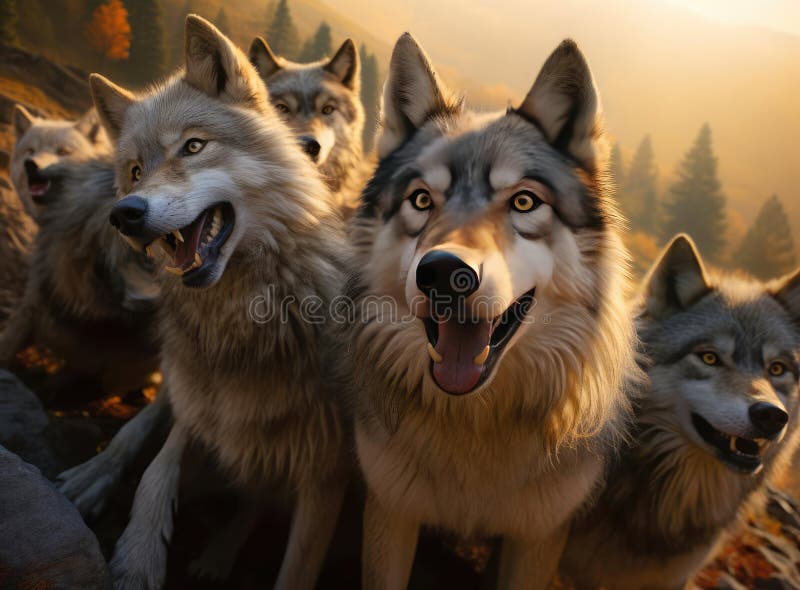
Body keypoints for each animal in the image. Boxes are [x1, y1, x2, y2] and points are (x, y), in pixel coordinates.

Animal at [87, 15, 350, 589]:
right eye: (135, 171)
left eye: (192, 147)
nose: (125, 214)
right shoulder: (201, 406)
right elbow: (157, 471)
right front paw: (138, 556)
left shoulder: (325, 471)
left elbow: (294, 569)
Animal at [348, 34, 636, 589]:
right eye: (421, 200)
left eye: (524, 202)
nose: (443, 272)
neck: (476, 421)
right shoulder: (390, 510)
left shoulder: (538, 537)